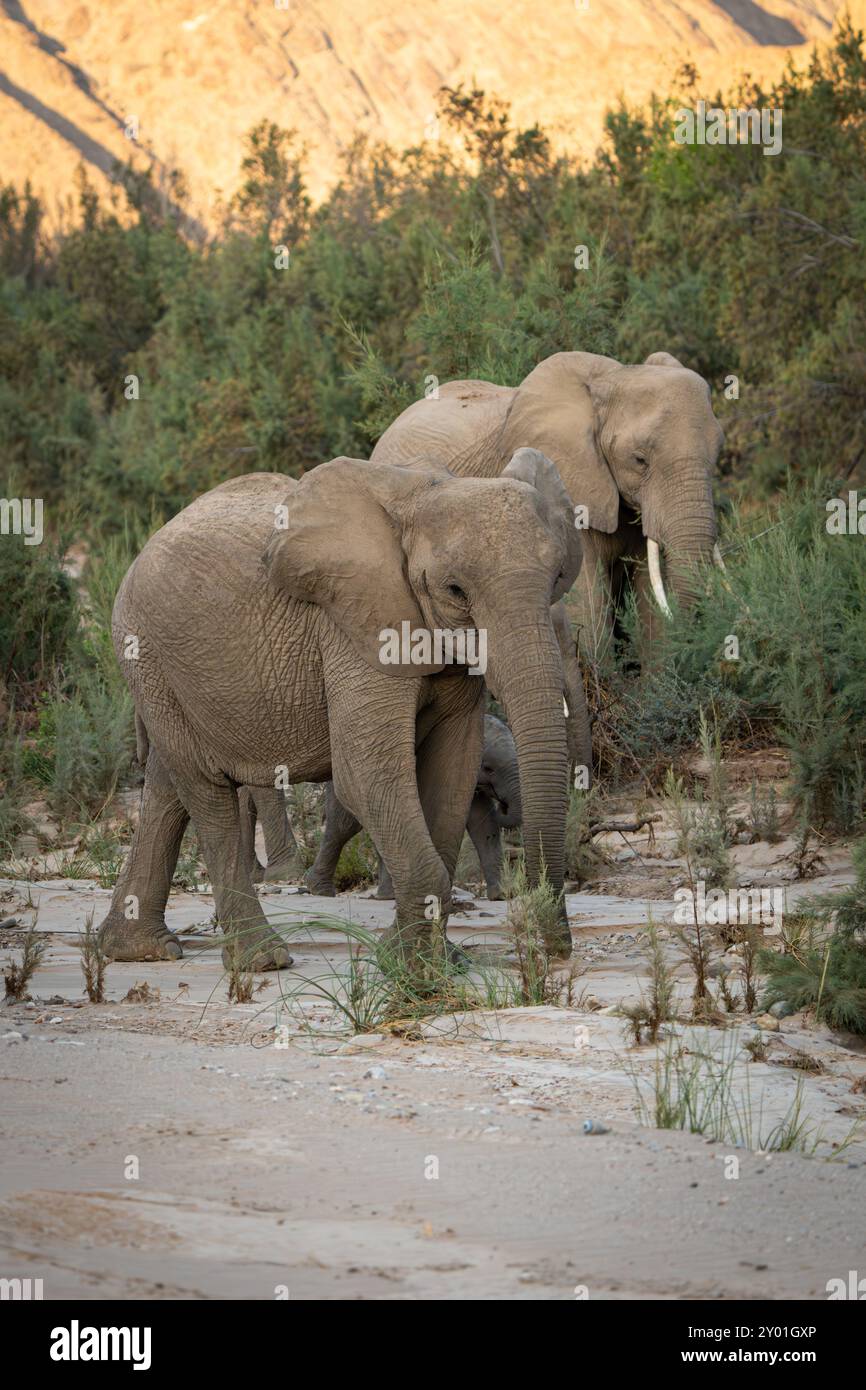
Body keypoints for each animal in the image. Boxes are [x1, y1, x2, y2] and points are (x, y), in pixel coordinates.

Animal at [304, 713, 521, 900]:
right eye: (488, 768)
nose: (503, 805)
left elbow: (482, 823)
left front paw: (502, 895)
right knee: (344, 826)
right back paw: (321, 890)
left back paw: (387, 894)